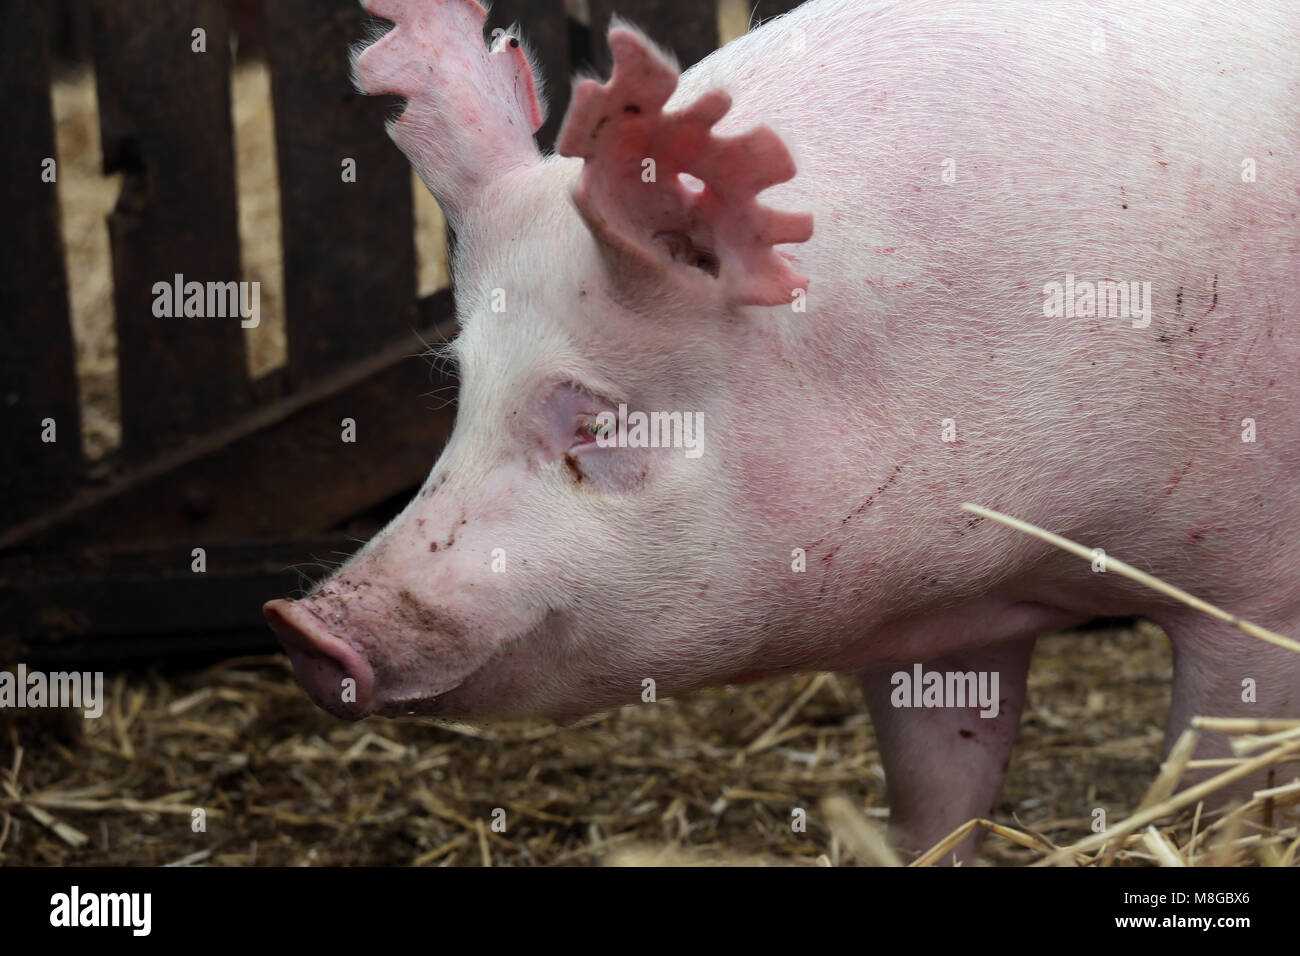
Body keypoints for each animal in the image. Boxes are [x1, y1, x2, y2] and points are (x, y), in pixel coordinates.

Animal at [264, 0, 1300, 861]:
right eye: (462, 387)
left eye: (596, 417)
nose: (306, 626)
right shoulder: (921, 614)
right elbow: (936, 792)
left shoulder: (1254, 589)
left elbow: (1213, 788)